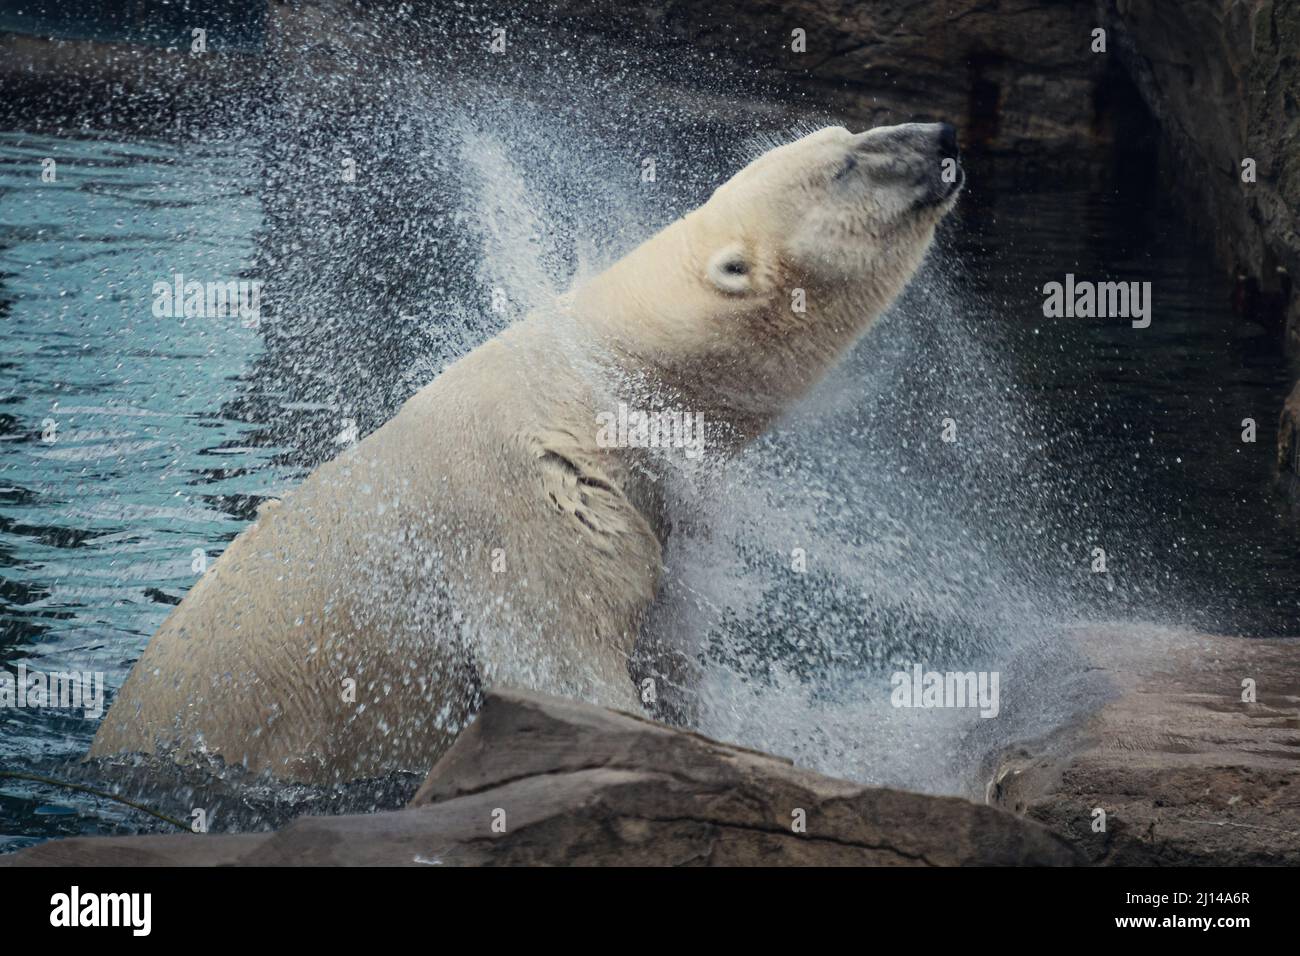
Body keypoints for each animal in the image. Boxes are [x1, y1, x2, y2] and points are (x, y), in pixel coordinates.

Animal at [89, 123, 964, 785]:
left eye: (845, 133)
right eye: (843, 165)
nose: (941, 136)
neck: (600, 383)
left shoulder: (662, 514)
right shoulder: (531, 519)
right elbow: (567, 675)